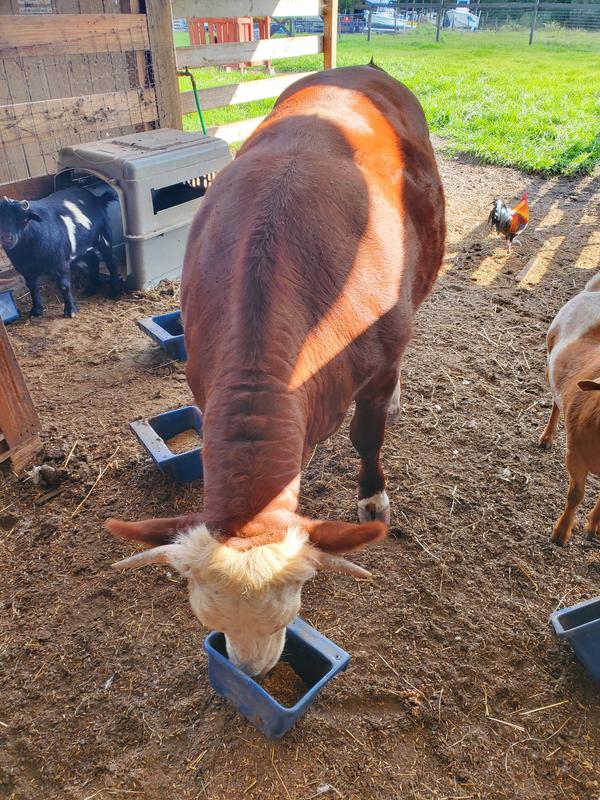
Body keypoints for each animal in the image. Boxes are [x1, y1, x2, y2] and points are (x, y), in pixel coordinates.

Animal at [107, 65, 446, 676]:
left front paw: (373, 497)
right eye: (208, 617)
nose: (253, 671)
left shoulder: (380, 363)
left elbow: (366, 436)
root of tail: (361, 69)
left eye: (291, 611)